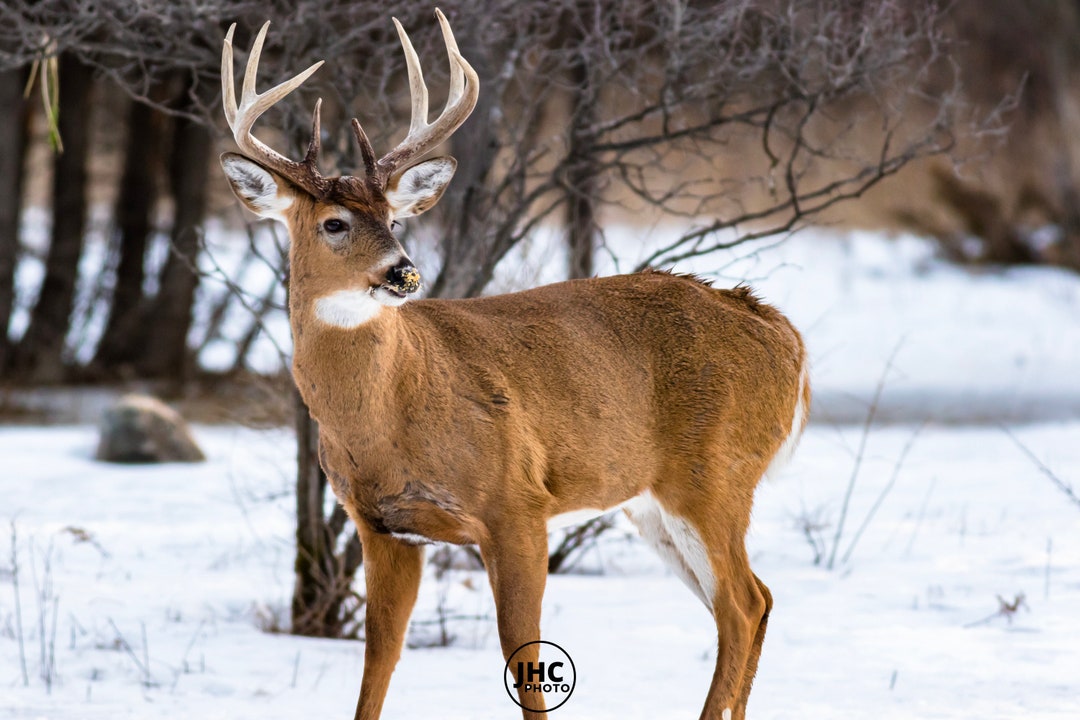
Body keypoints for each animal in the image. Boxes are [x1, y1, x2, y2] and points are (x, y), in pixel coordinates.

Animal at [219, 10, 810, 720]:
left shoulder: (517, 503)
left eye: (393, 218)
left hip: (716, 475)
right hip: (653, 502)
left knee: (743, 603)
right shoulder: (383, 526)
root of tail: (784, 335)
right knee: (753, 601)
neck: (390, 417)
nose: (403, 271)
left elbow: (523, 660)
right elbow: (378, 663)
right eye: (334, 223)